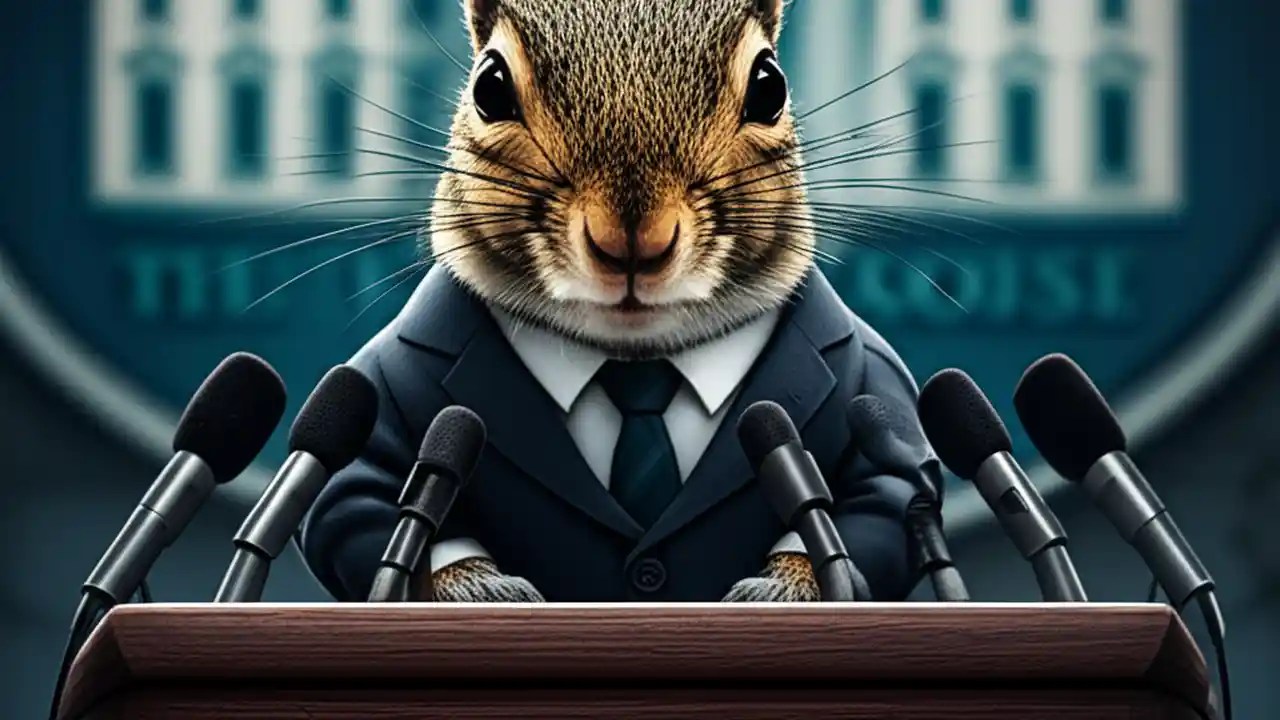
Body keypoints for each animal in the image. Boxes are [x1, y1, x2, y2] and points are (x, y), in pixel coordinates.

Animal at [300, 0, 927, 604]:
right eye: (489, 86)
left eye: (770, 86)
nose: (633, 239)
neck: (634, 357)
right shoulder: (377, 381)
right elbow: (355, 494)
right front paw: (484, 589)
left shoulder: (876, 382)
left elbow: (888, 492)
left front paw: (780, 588)